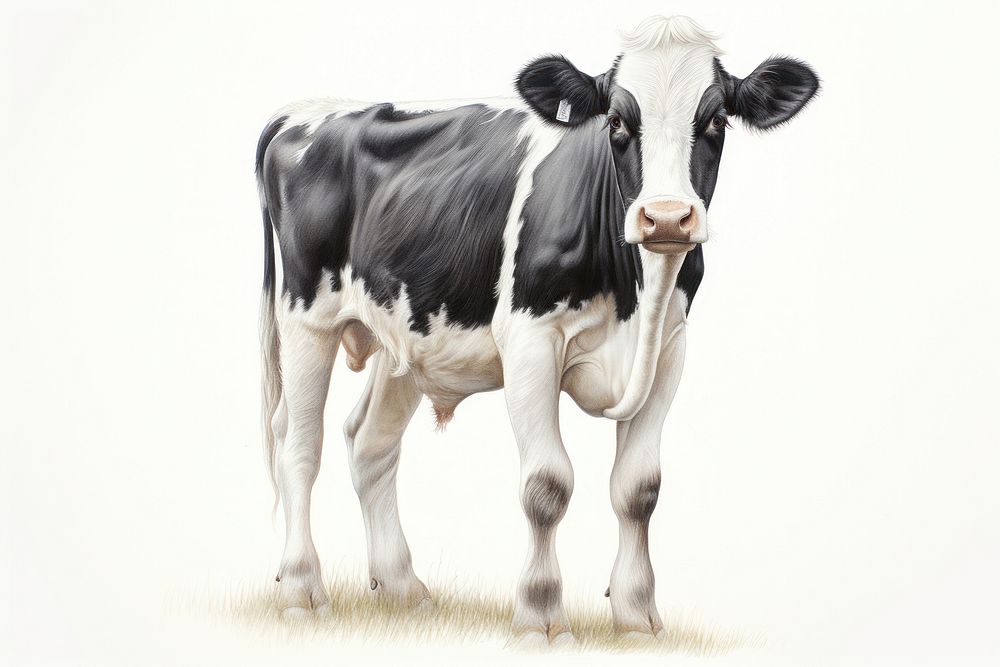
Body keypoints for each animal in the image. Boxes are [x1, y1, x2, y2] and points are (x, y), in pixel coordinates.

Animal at [255, 15, 818, 645]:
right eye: (616, 121)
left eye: (717, 119)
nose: (668, 218)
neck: (637, 295)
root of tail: (303, 111)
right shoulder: (530, 346)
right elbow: (547, 485)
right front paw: (541, 615)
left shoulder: (670, 349)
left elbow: (639, 489)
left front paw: (636, 615)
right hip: (306, 318)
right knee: (298, 447)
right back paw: (301, 588)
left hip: (408, 333)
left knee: (370, 443)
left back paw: (402, 587)